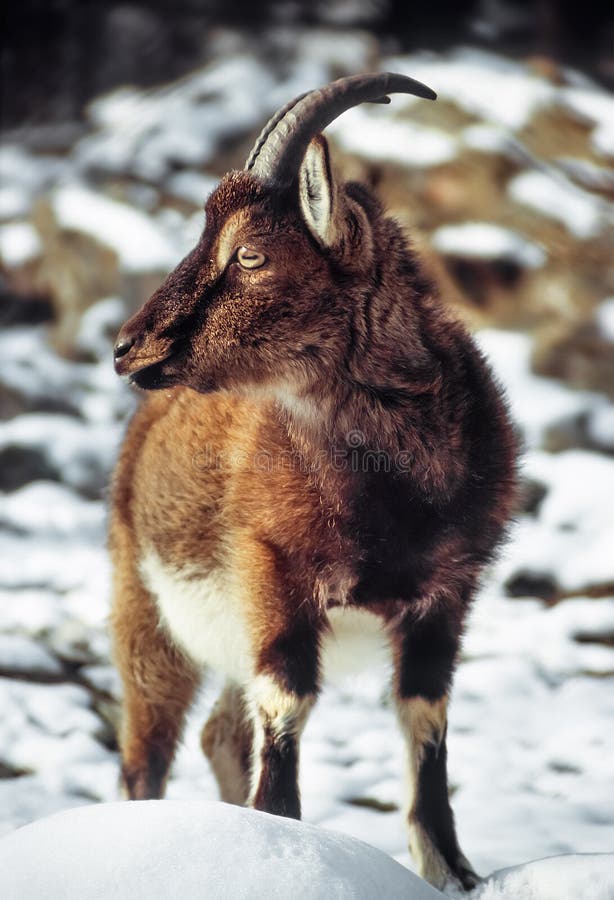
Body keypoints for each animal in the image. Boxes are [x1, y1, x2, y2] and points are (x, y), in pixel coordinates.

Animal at [110, 73, 517, 891]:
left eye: (250, 254)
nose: (128, 346)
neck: (387, 501)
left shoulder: (449, 594)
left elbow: (425, 715)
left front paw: (455, 871)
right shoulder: (275, 572)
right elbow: (288, 704)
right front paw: (286, 848)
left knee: (217, 733)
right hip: (146, 613)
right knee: (149, 752)